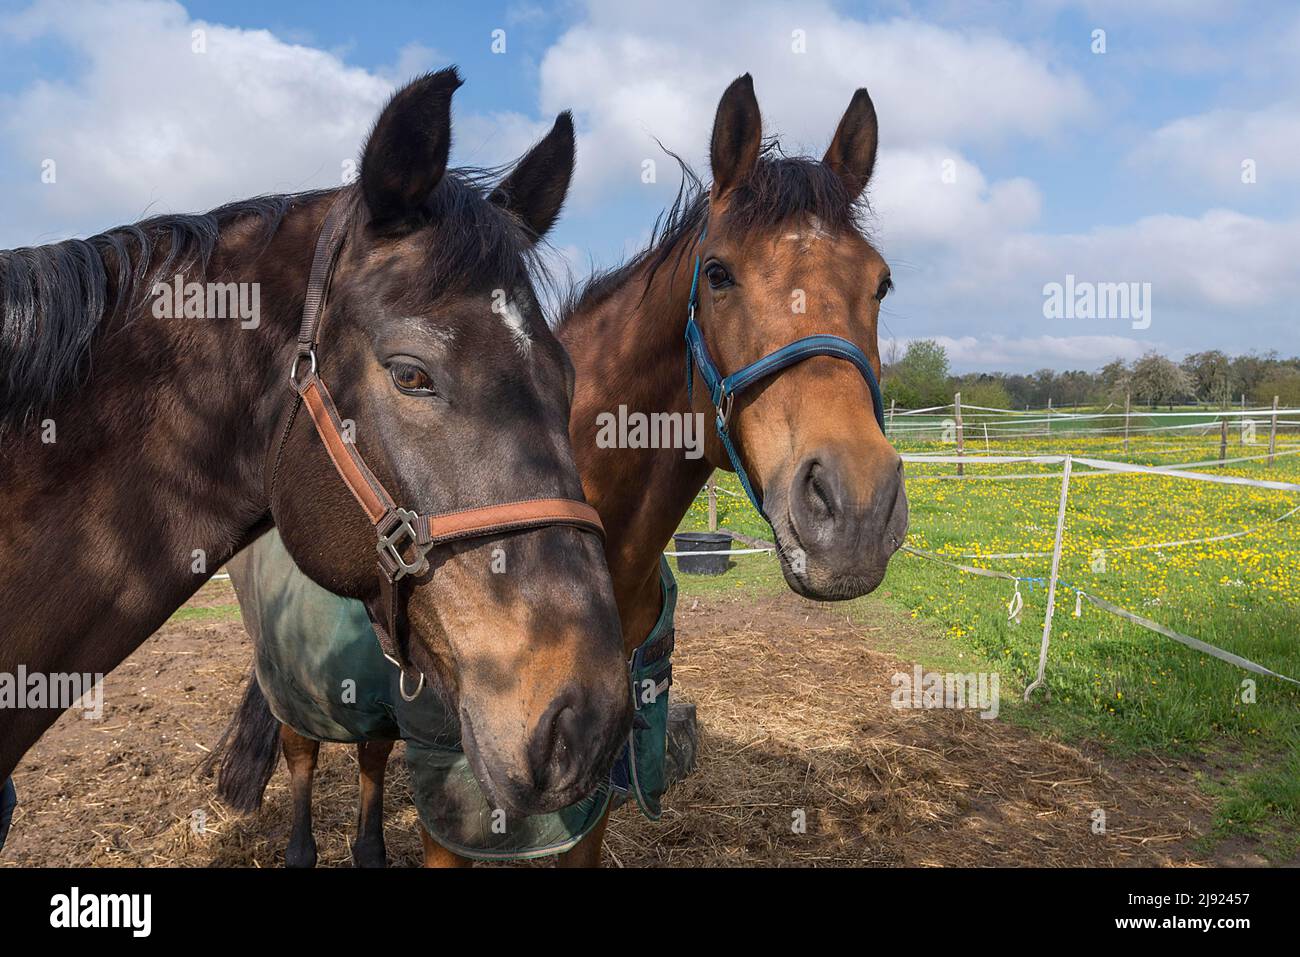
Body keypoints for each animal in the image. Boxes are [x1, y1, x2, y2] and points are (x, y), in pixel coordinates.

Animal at [215, 73, 907, 867]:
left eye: (881, 285)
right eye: (719, 274)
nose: (855, 510)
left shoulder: (590, 799)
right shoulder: (451, 805)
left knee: (369, 758)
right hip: (296, 684)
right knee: (301, 752)